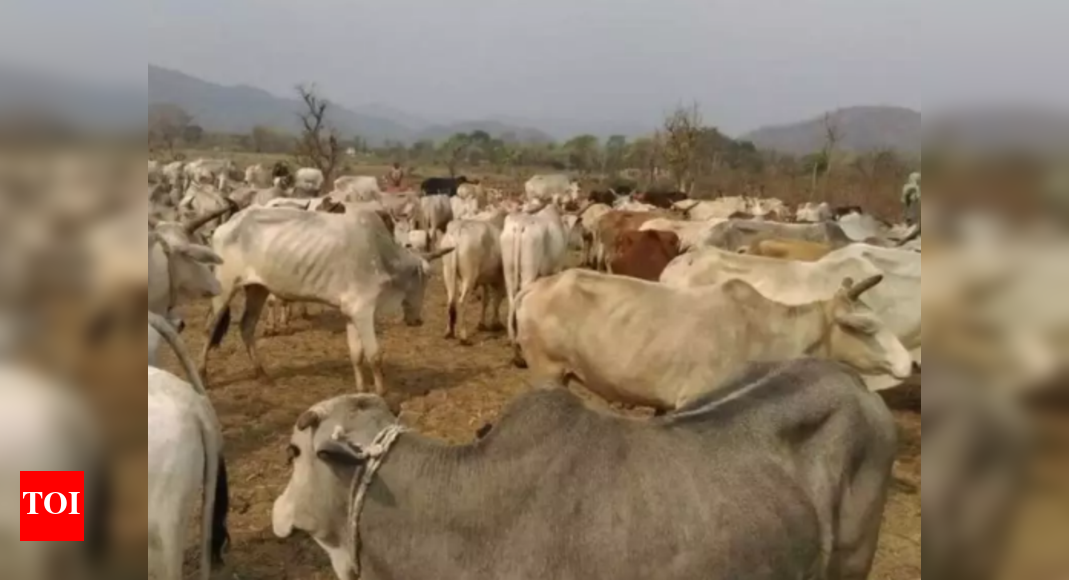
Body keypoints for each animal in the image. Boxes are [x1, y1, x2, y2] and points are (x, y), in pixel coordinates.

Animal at [198, 207, 452, 394]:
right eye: (426, 278)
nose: (417, 321)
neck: (382, 256)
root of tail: (224, 226)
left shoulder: (351, 312)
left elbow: (356, 355)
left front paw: (361, 391)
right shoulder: (363, 311)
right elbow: (374, 356)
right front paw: (382, 396)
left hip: (257, 289)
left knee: (247, 326)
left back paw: (262, 374)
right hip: (224, 287)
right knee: (210, 328)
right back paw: (202, 376)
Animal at [440, 215, 507, 345]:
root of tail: (459, 229)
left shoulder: (485, 281)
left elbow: (485, 301)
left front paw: (482, 324)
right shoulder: (500, 281)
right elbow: (496, 301)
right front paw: (496, 324)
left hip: (448, 272)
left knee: (450, 301)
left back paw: (449, 332)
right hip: (469, 276)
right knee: (461, 302)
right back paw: (464, 337)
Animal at [500, 202, 569, 344]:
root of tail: (520, 225)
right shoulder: (557, 267)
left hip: (508, 269)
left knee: (511, 295)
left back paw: (512, 335)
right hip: (529, 271)